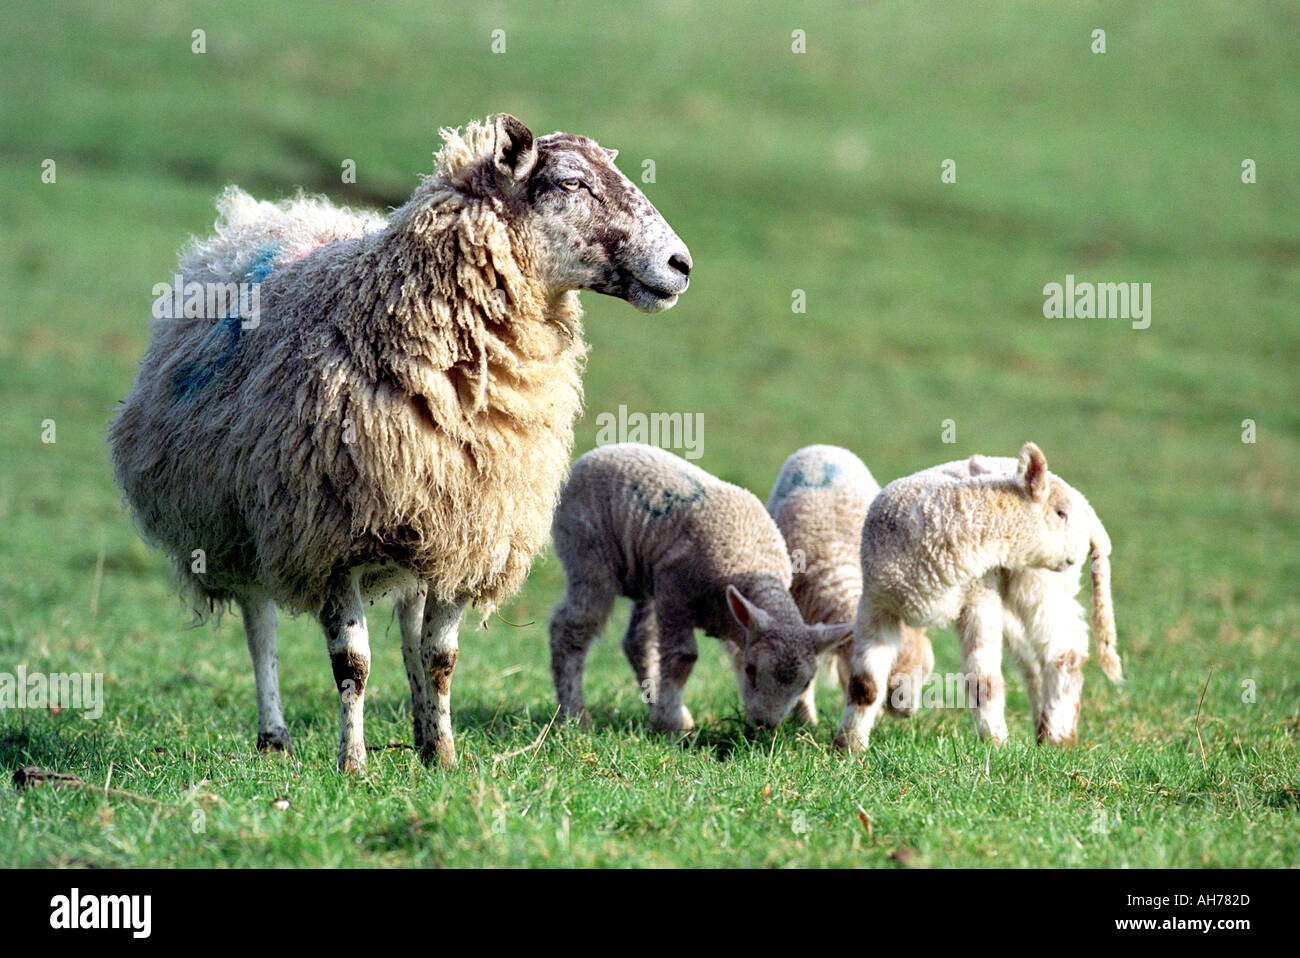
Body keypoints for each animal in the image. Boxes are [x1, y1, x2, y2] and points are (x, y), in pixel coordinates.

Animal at [109, 115, 692, 771]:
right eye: (571, 183)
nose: (681, 263)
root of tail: (261, 214)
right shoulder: (327, 536)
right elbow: (352, 665)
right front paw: (353, 766)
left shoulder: (469, 530)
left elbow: (440, 659)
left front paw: (444, 756)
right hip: (231, 520)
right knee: (260, 624)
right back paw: (274, 736)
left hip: (416, 522)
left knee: (412, 625)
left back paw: (419, 732)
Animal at [548, 443, 854, 731]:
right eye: (752, 670)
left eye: (805, 684)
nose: (765, 724)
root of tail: (595, 453)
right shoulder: (675, 594)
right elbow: (681, 657)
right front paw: (670, 726)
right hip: (589, 555)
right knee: (570, 629)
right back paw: (575, 715)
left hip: (648, 576)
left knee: (637, 641)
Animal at [833, 441, 1119, 752]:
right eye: (1061, 513)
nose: (1076, 554)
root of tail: (1091, 512)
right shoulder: (875, 603)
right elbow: (865, 685)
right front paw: (848, 746)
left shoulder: (979, 598)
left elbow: (984, 682)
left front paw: (996, 744)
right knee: (1032, 660)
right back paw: (1042, 729)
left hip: (1041, 583)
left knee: (1065, 649)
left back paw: (1058, 737)